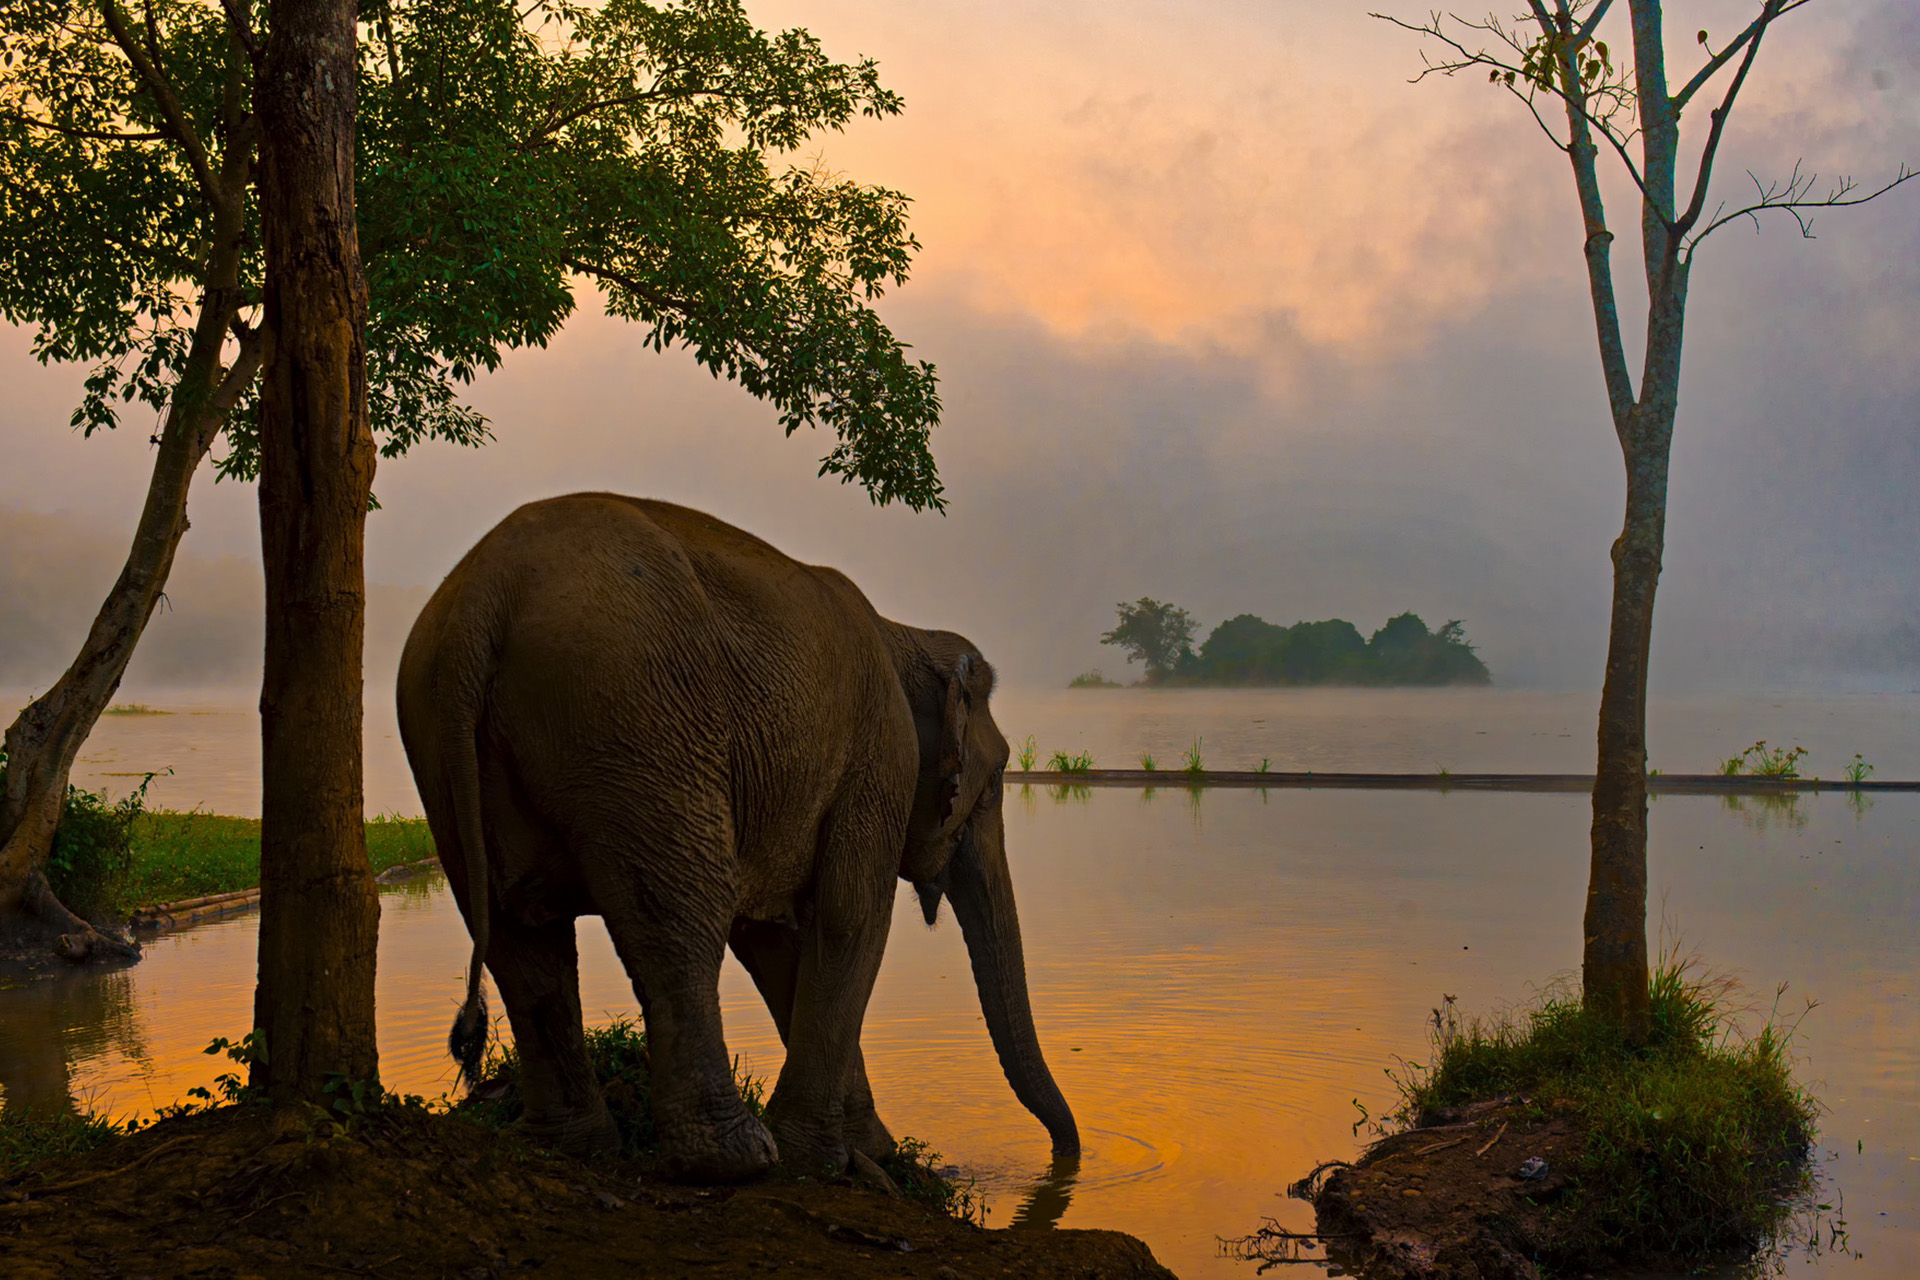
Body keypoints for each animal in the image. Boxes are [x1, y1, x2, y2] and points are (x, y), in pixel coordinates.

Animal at [396, 492, 1079, 1182]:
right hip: (639, 718)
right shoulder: (880, 757)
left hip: (444, 743)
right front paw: (827, 1159)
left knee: (521, 938)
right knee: (681, 916)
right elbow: (850, 917)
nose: (1067, 1158)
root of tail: (483, 599)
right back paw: (738, 1157)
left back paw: (572, 1146)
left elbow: (774, 939)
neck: (904, 632)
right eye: (993, 783)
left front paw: (871, 1149)